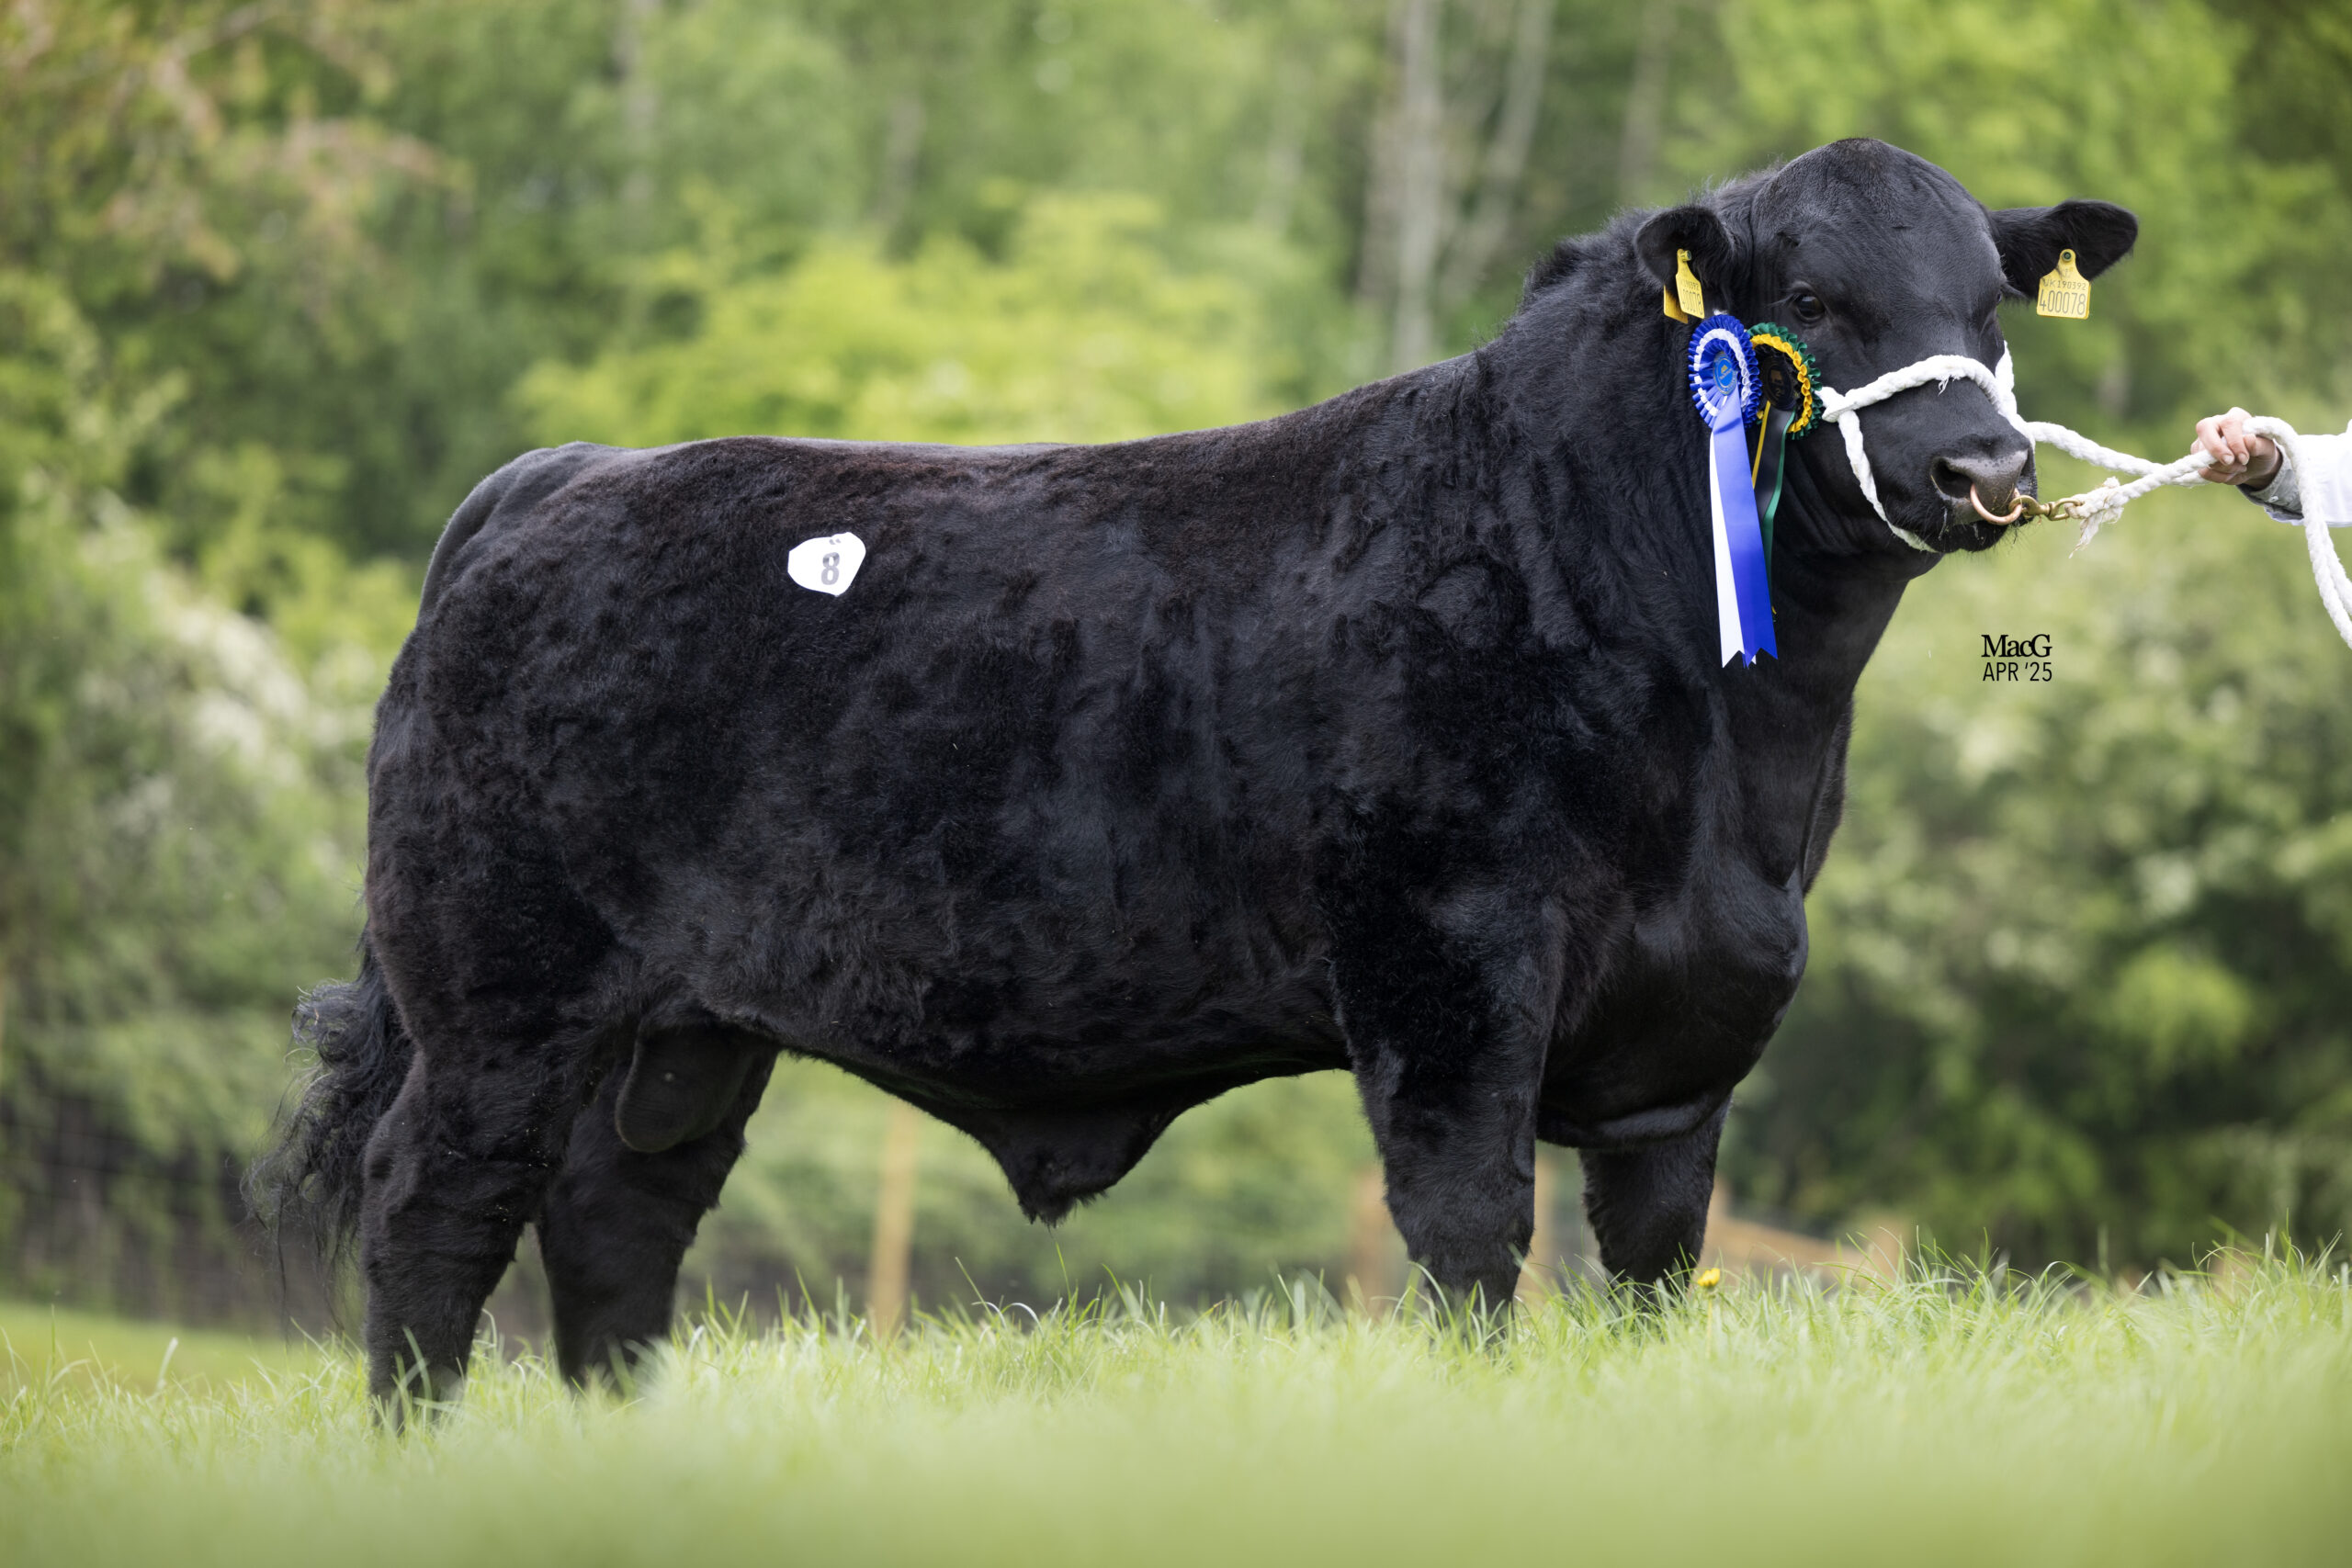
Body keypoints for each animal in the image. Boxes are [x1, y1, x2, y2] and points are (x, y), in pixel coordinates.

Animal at [253, 137, 2137, 1408]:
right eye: (1809, 300)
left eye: (1992, 306)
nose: (1985, 465)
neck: (1738, 766)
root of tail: (573, 472)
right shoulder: (1447, 974)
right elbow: (1471, 1241)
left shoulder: (1690, 1033)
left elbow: (1659, 1266)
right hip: (497, 994)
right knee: (436, 1212)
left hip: (682, 1030)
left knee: (617, 1222)